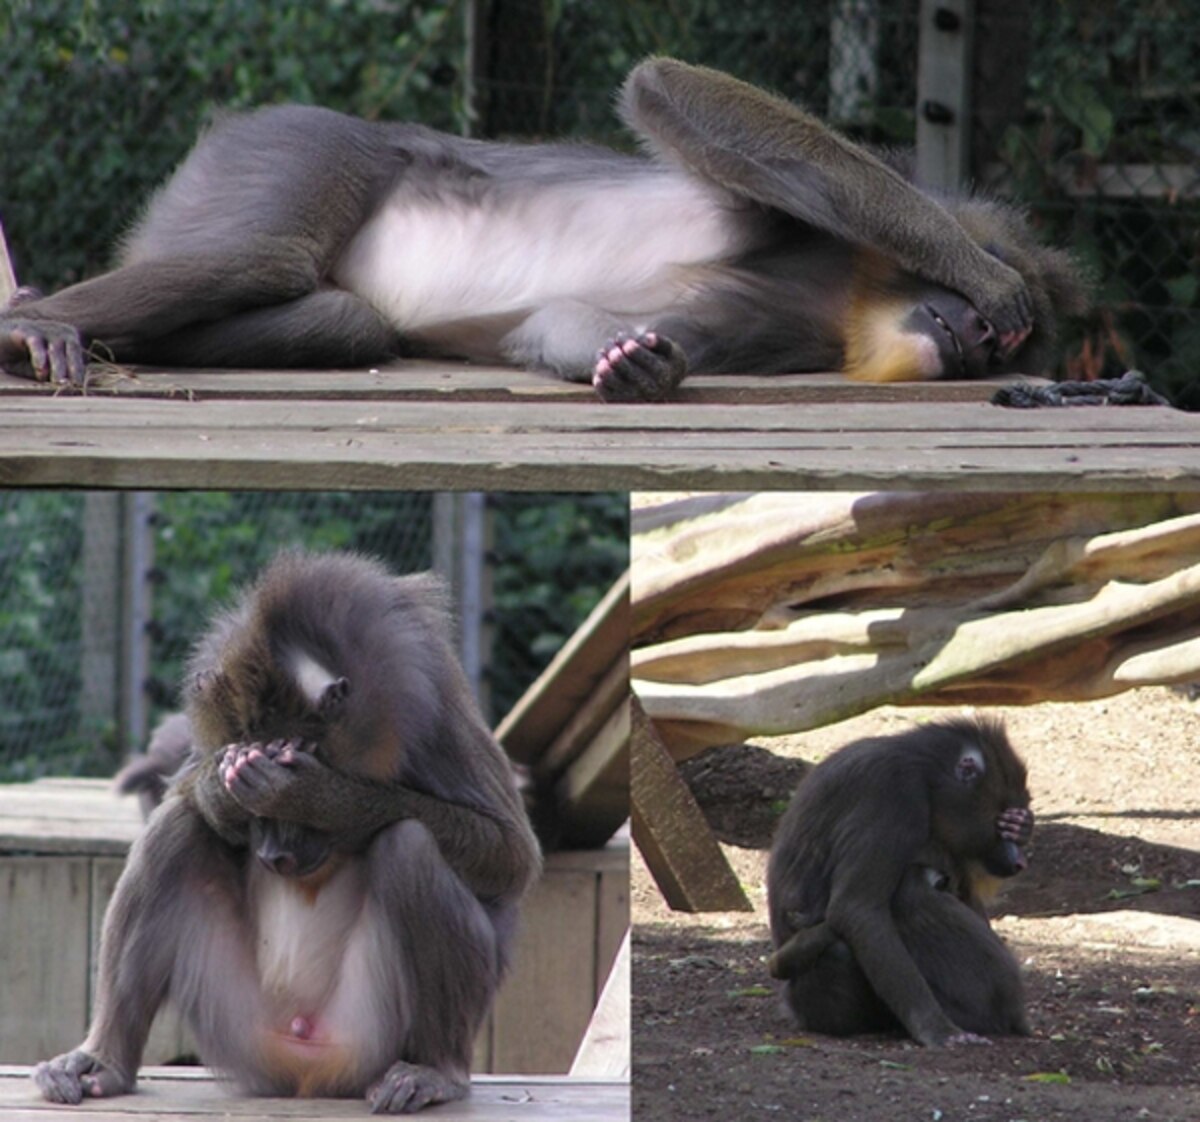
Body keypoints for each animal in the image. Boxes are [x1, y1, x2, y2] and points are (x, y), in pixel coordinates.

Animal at [0, 58, 1086, 400]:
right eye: (1006, 339)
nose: (977, 340)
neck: (847, 296)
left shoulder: (778, 329)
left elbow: (567, 321)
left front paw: (637, 366)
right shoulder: (844, 221)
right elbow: (672, 88)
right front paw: (985, 273)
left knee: (347, 320)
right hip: (293, 148)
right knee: (256, 252)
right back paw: (34, 324)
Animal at [34, 550, 542, 1113]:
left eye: (292, 748)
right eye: (248, 738)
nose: (275, 854)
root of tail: (304, 1067)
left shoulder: (436, 714)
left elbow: (510, 855)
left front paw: (313, 794)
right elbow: (178, 797)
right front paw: (222, 790)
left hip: (367, 1036)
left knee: (408, 844)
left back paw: (436, 1070)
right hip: (239, 1020)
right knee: (176, 827)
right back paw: (103, 1063)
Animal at [766, 717, 1032, 1046]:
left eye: (1015, 819)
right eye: (1004, 819)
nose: (1018, 861)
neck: (925, 773)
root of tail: (793, 1008)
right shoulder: (891, 792)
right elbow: (857, 908)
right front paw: (937, 1028)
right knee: (906, 893)